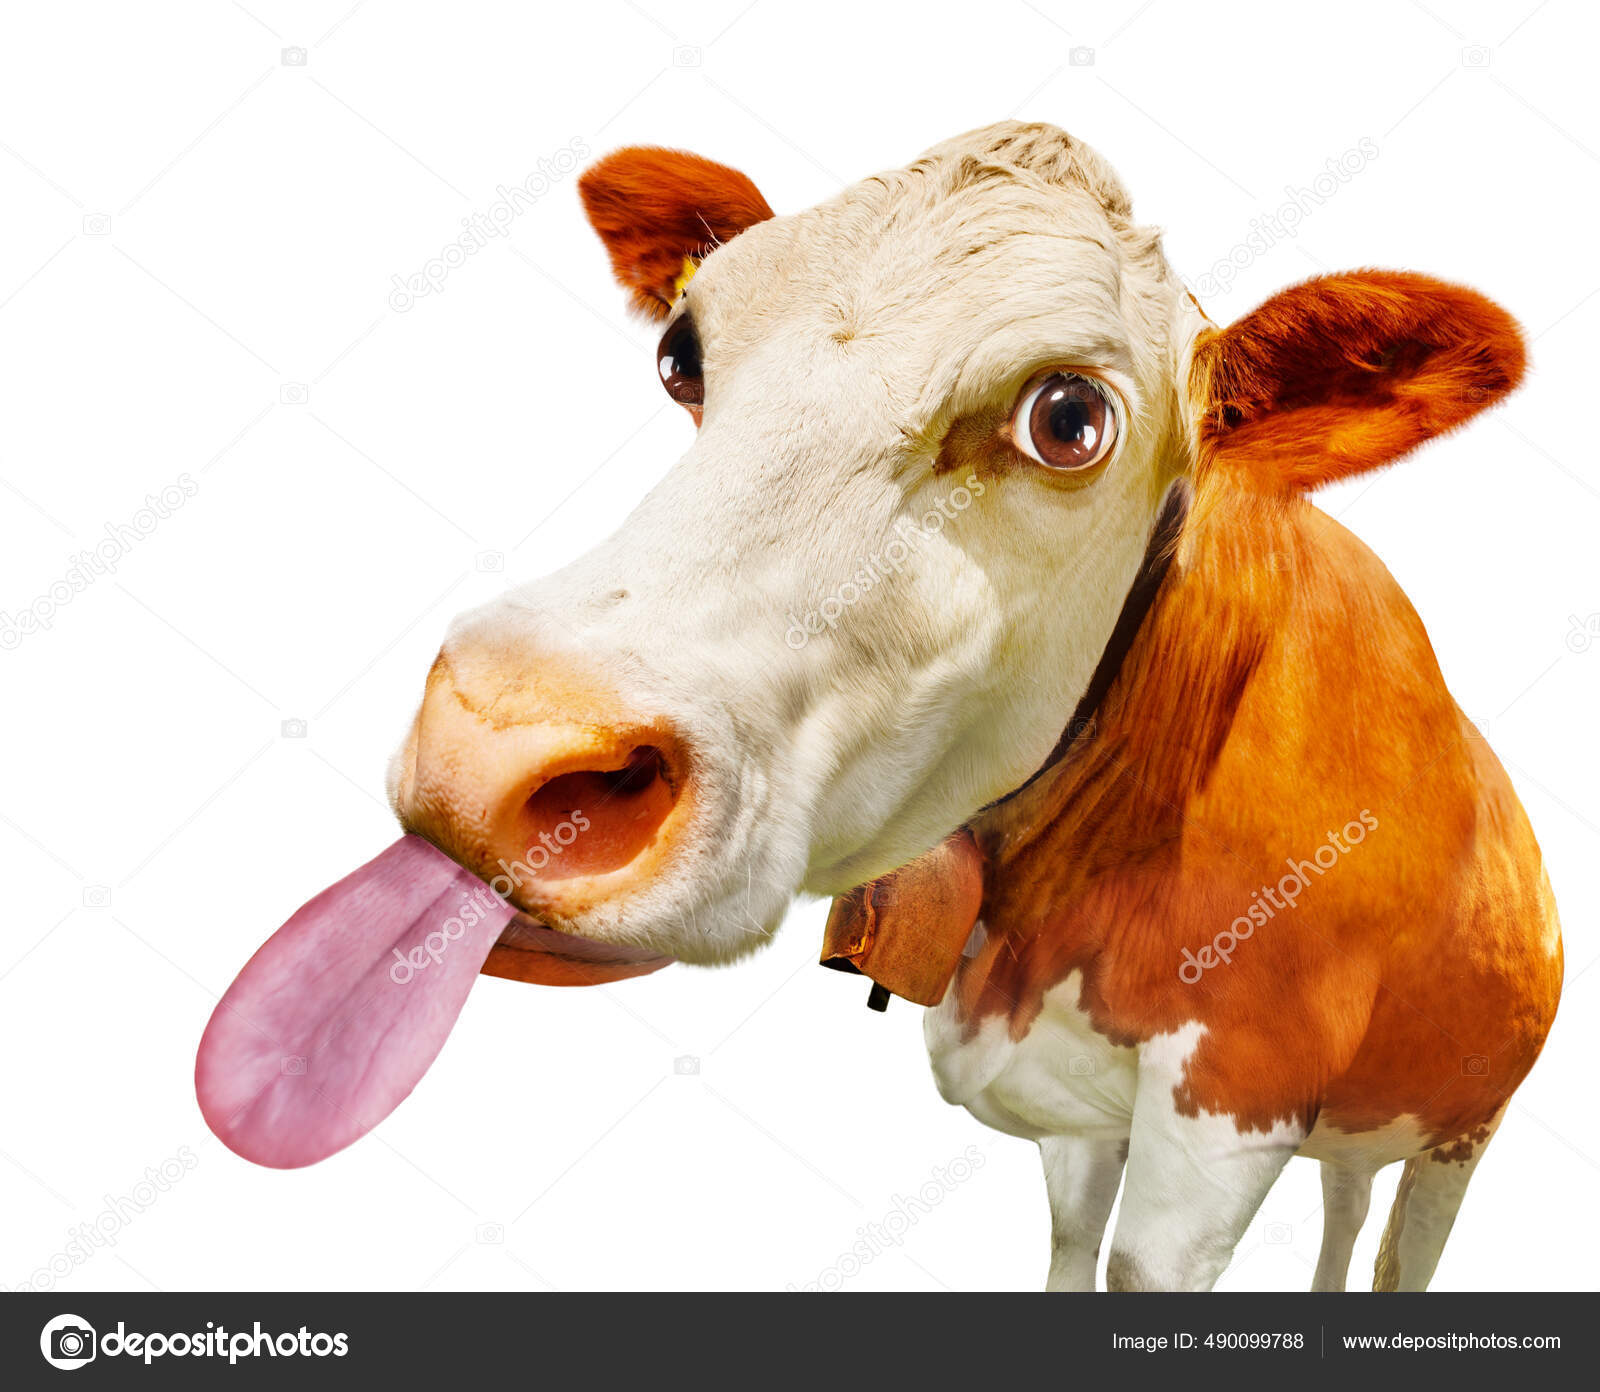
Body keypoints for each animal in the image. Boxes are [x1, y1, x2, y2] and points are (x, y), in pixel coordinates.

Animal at [196, 122, 1562, 1292]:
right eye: (681, 354)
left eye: (1070, 419)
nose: (487, 747)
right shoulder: (1081, 1126)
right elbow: (1072, 1251)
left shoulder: (1224, 1122)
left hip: (1464, 1129)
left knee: (1398, 1247)